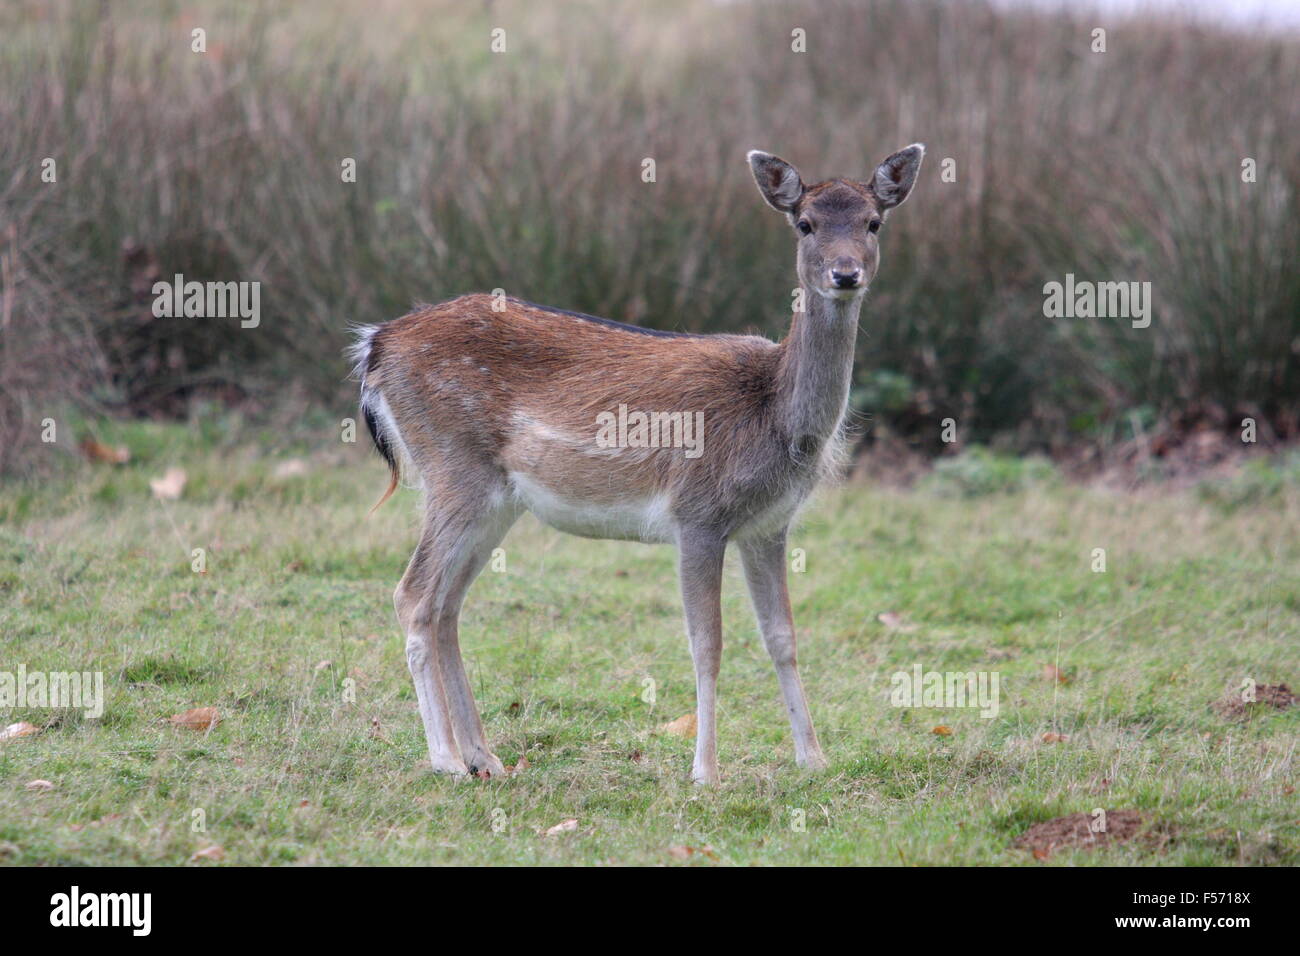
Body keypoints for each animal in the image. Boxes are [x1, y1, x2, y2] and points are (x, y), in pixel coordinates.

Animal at [350, 144, 924, 785]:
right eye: (805, 223)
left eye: (873, 223)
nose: (845, 274)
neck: (774, 414)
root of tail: (376, 344)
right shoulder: (698, 513)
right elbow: (708, 643)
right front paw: (706, 772)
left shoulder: (769, 526)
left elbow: (782, 637)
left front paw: (814, 759)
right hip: (453, 468)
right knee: (414, 595)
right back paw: (446, 759)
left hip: (496, 498)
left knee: (447, 605)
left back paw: (485, 756)